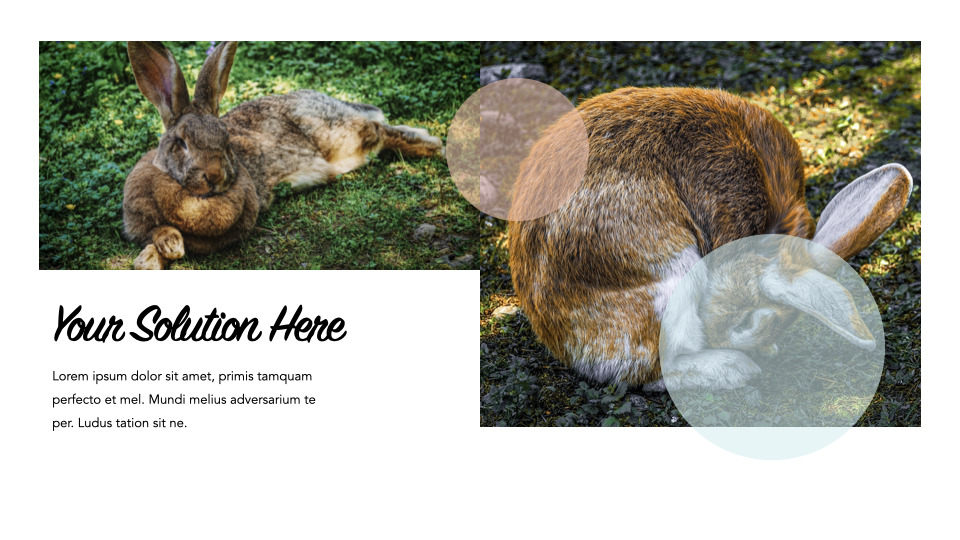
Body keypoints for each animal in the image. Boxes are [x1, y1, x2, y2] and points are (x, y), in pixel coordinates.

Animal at [122, 41, 444, 270]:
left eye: (226, 140)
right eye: (181, 142)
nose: (215, 176)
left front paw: (160, 254)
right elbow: (156, 236)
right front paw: (156, 256)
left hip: (339, 134)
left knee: (379, 130)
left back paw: (432, 144)